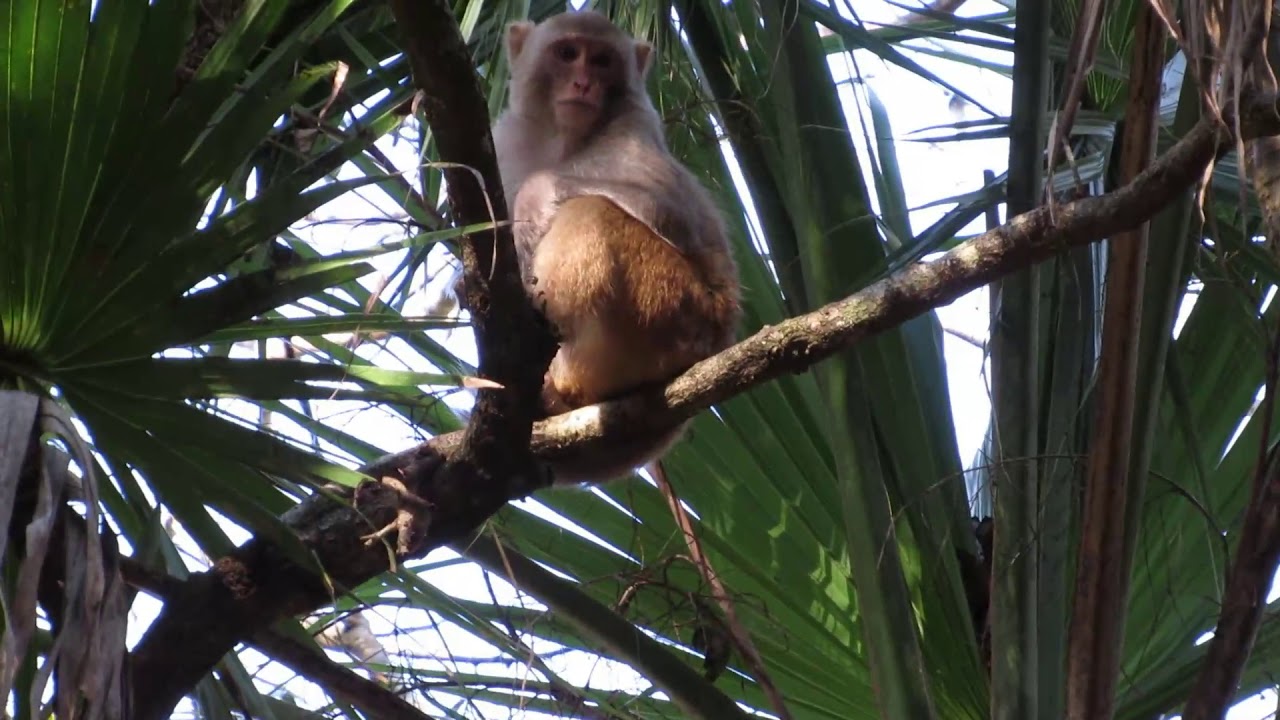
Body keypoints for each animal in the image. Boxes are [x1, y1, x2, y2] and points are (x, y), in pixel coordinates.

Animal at [486, 10, 741, 485]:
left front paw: (533, 198)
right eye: (568, 53)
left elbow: (668, 208)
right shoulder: (506, 139)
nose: (583, 83)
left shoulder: (635, 124)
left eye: (602, 61)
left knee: (591, 212)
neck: (563, 140)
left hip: (671, 307)